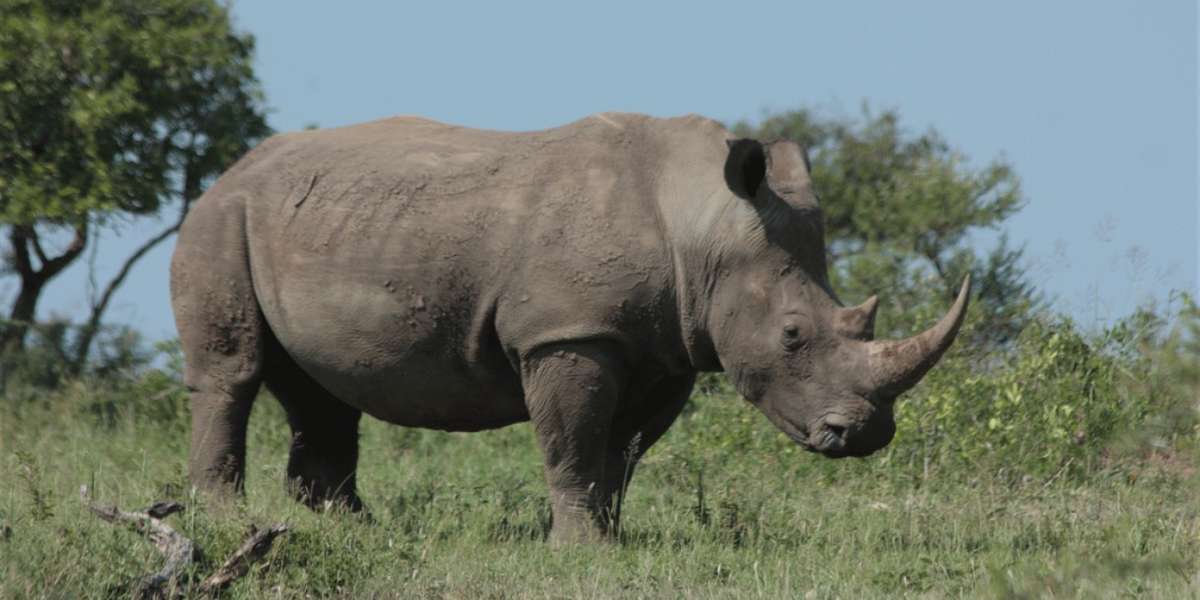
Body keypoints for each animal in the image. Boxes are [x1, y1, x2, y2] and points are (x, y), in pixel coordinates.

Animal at [171, 112, 969, 542]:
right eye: (794, 336)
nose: (863, 436)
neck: (703, 227)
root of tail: (229, 170)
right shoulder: (569, 333)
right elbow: (573, 442)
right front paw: (581, 551)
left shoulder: (663, 348)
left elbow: (620, 453)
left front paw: (611, 542)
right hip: (222, 219)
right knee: (234, 373)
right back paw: (226, 524)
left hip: (308, 224)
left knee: (320, 390)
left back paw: (351, 529)